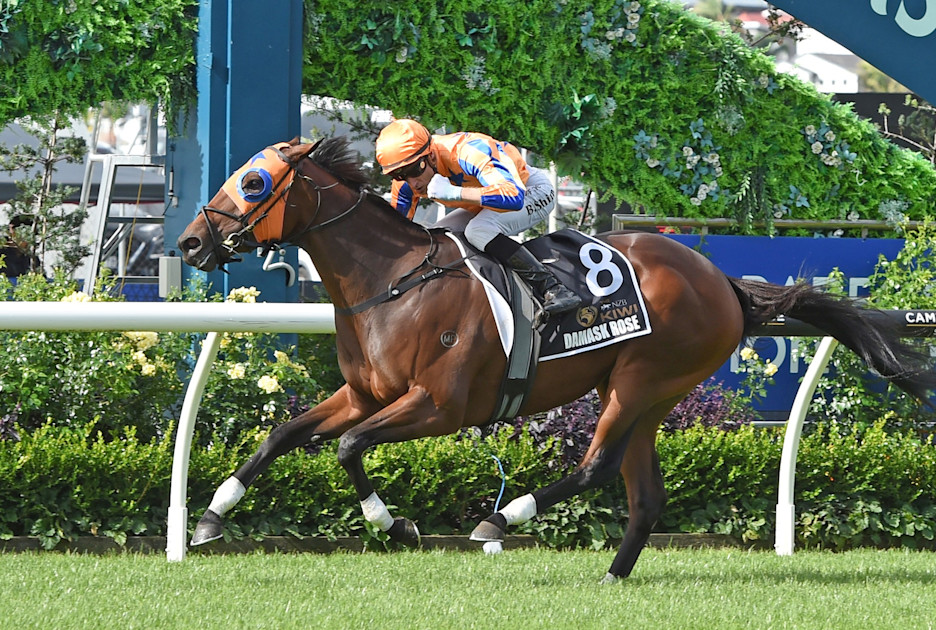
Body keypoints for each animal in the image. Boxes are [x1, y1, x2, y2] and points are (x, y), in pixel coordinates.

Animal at [177, 137, 936, 582]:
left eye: (253, 183)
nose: (189, 243)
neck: (391, 281)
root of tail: (723, 282)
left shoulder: (439, 406)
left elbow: (348, 449)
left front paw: (395, 524)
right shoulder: (365, 394)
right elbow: (281, 435)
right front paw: (211, 517)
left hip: (641, 379)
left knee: (596, 467)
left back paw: (499, 522)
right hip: (644, 392)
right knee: (643, 493)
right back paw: (612, 574)